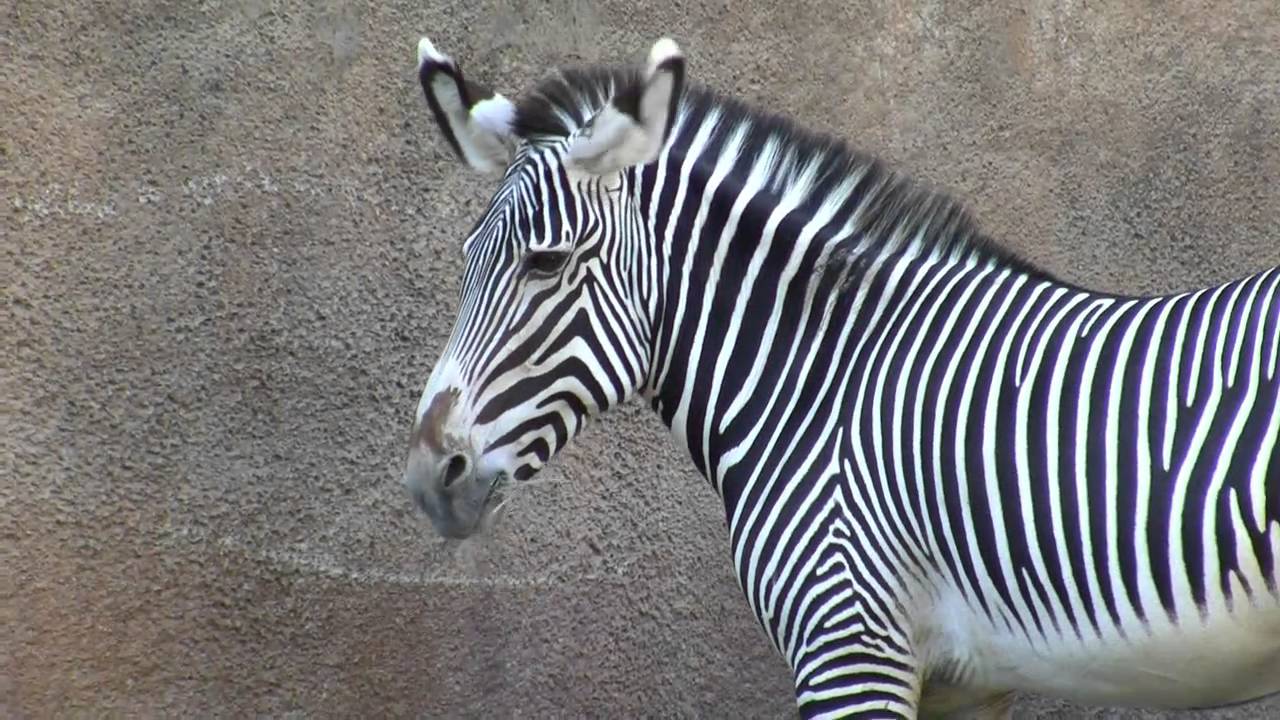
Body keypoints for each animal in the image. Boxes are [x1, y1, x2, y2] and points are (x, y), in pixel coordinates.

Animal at [402, 34, 1280, 719]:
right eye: (464, 261)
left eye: (544, 264)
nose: (427, 478)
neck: (822, 384)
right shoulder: (961, 684)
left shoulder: (848, 639)